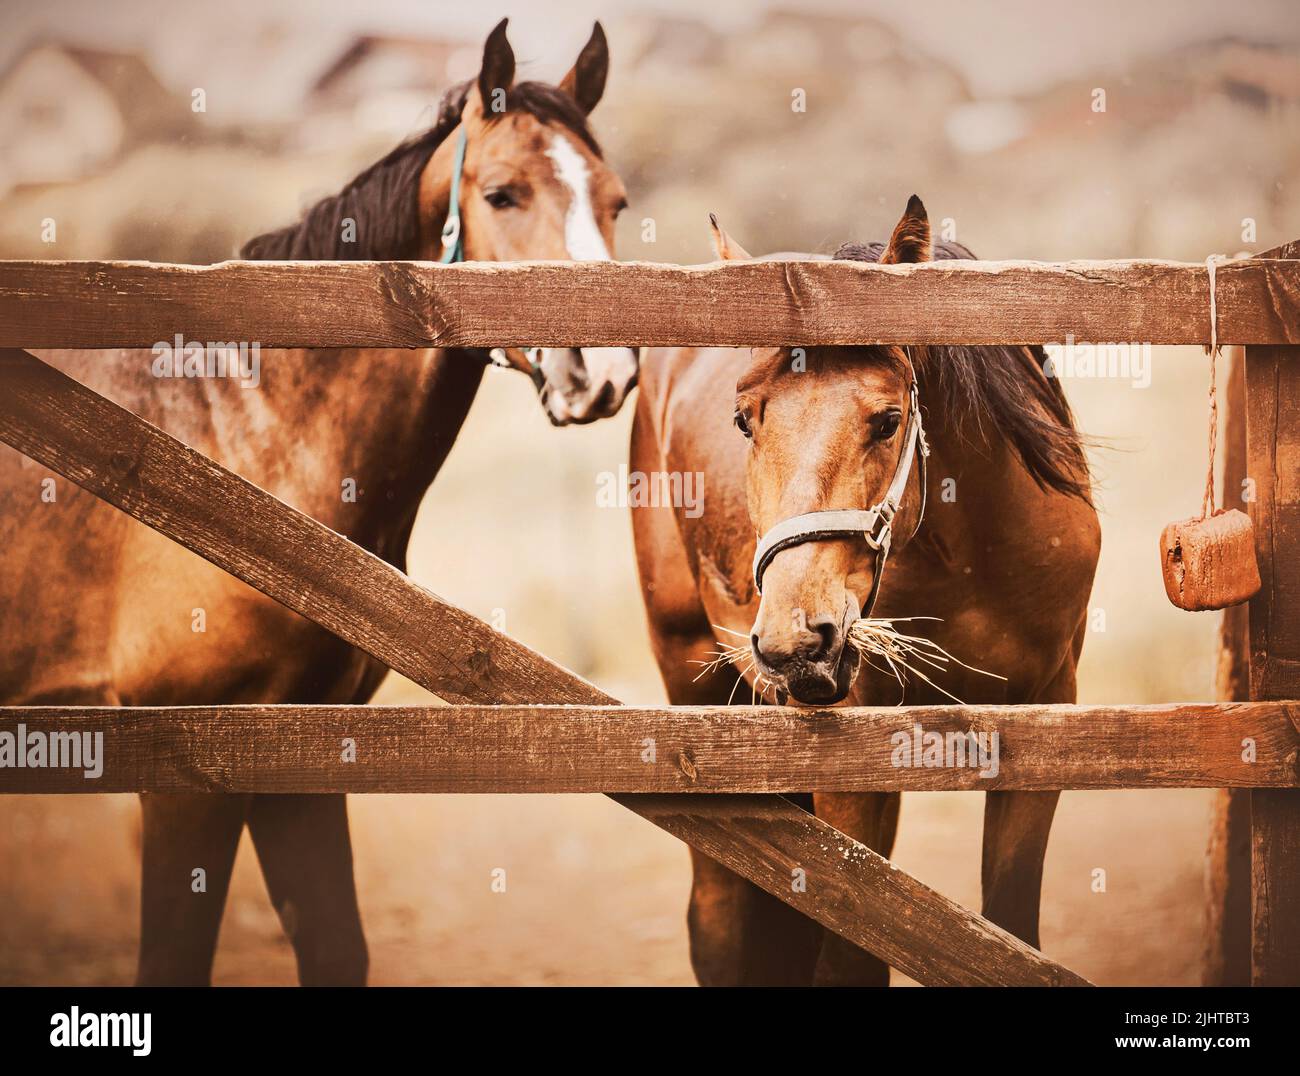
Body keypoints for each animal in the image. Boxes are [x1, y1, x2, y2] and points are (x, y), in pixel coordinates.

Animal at [0, 18, 637, 986]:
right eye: (503, 193)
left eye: (617, 203)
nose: (600, 371)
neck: (244, 455)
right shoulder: (185, 772)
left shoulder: (304, 756)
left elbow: (337, 944)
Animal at [630, 196, 1101, 985]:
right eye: (743, 420)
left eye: (887, 420)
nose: (794, 640)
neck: (968, 553)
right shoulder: (851, 753)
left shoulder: (1045, 717)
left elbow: (1010, 928)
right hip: (691, 678)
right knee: (720, 921)